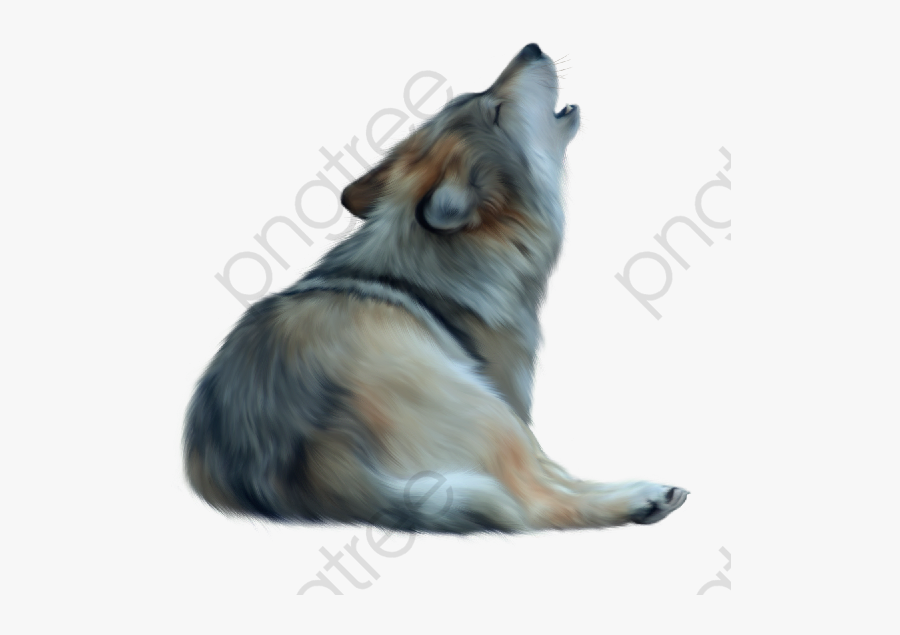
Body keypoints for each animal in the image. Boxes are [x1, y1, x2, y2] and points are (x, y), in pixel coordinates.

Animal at [184, 44, 689, 533]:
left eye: (479, 98)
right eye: (496, 110)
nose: (532, 47)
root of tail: (305, 461)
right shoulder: (512, 403)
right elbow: (551, 477)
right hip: (489, 411)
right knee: (535, 505)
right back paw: (644, 498)